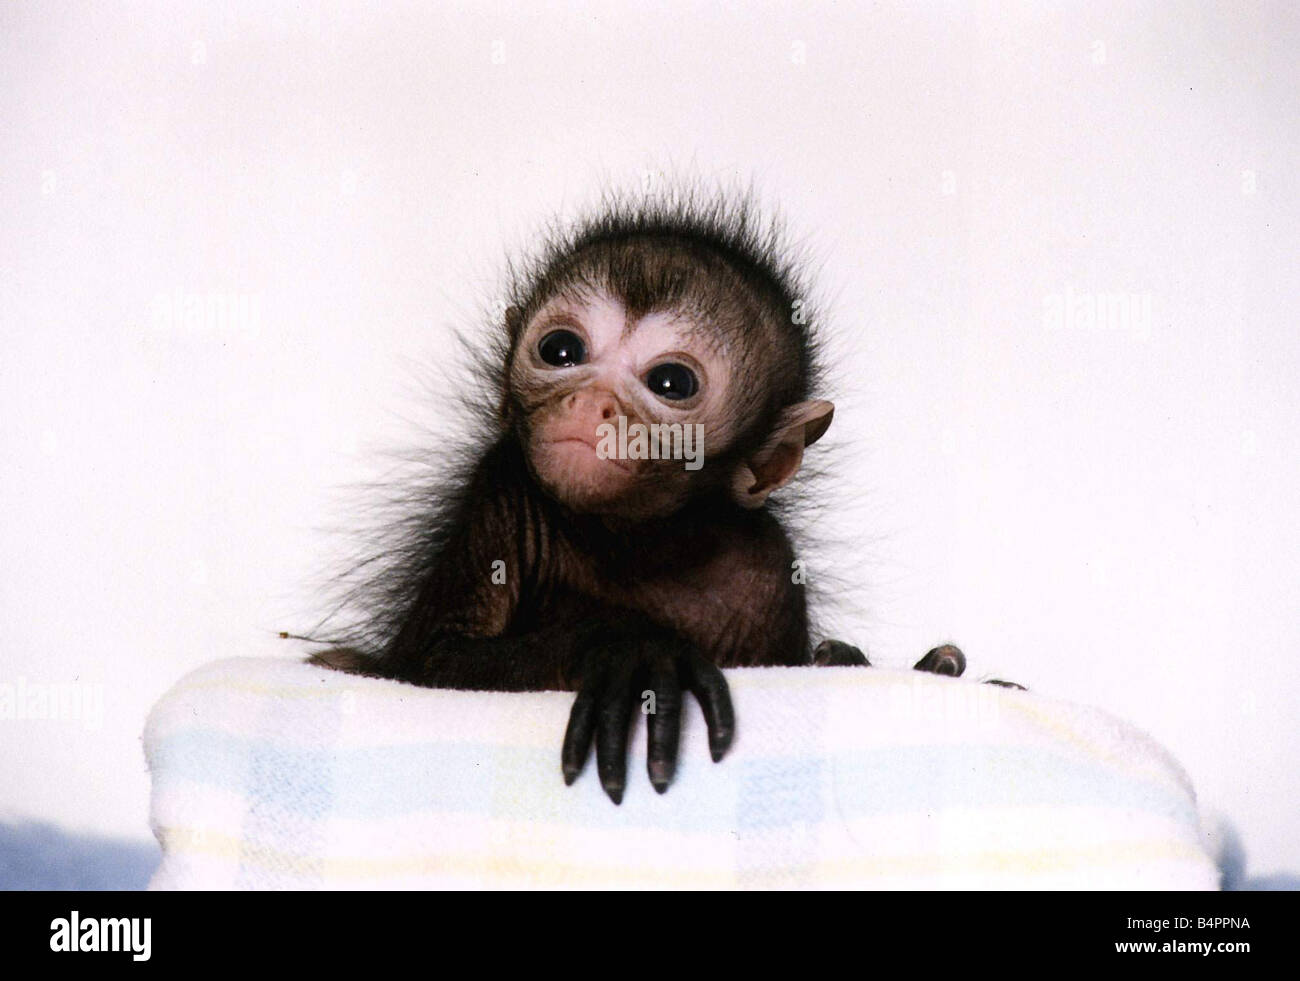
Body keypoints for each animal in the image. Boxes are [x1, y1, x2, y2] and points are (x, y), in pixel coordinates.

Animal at [305, 189, 1008, 804]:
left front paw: (899, 665)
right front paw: (628, 652)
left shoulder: (772, 564)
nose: (591, 402)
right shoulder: (500, 487)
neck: (635, 539)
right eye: (560, 350)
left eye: (671, 382)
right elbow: (433, 659)